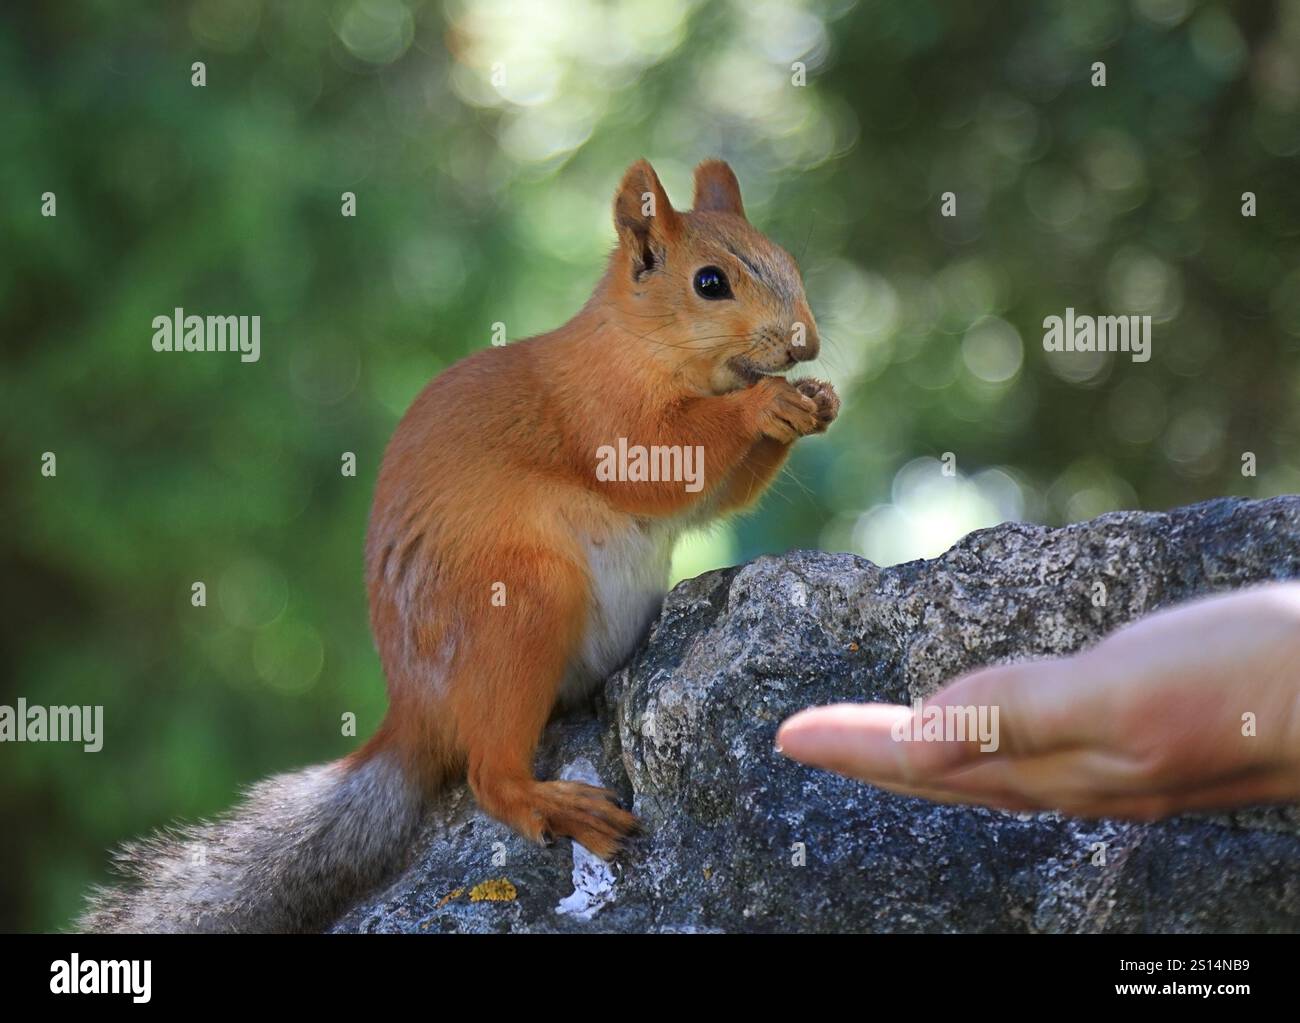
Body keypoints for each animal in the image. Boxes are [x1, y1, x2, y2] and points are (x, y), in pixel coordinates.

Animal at [80, 158, 840, 932]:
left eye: (787, 257)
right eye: (710, 282)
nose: (804, 342)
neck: (635, 343)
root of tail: (415, 710)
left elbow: (720, 496)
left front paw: (816, 399)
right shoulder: (602, 412)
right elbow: (664, 460)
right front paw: (764, 403)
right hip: (518, 606)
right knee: (487, 776)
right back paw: (551, 804)